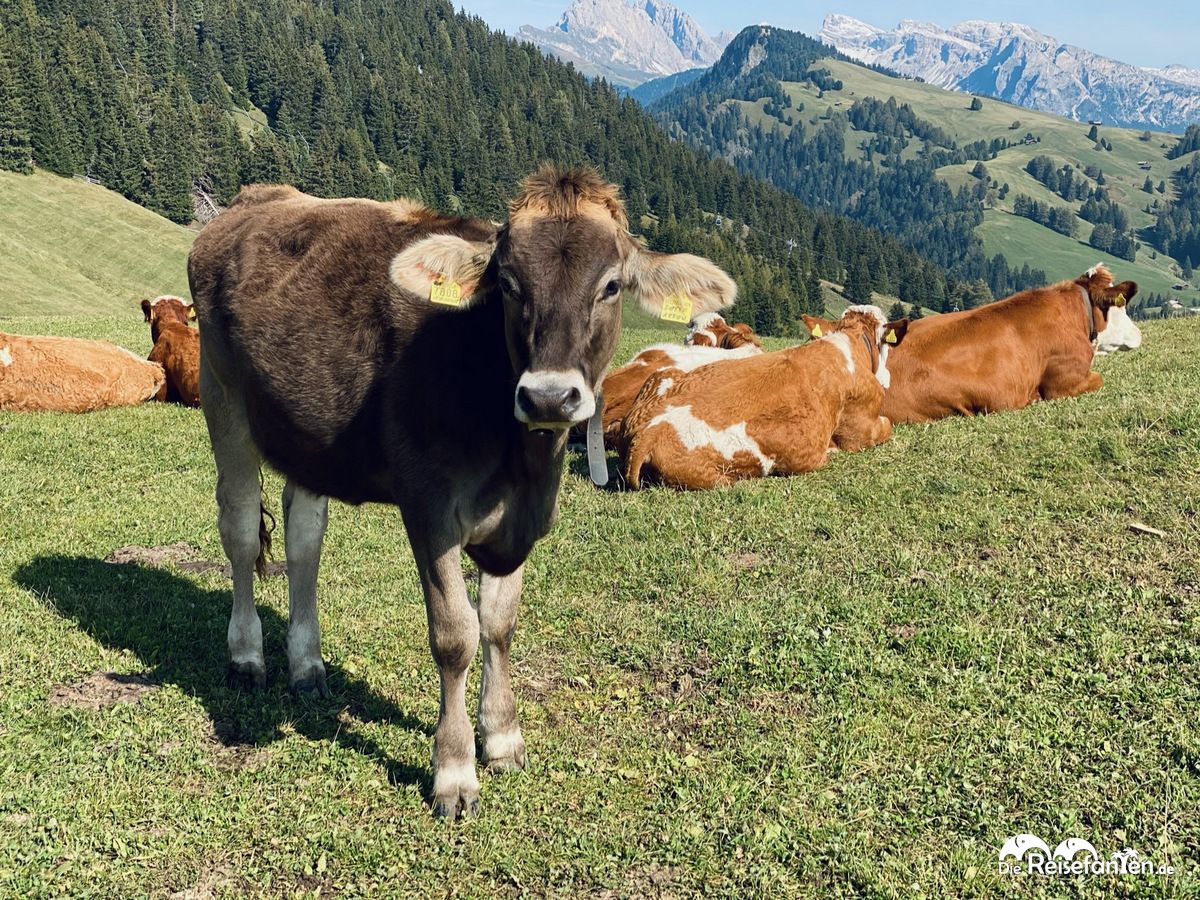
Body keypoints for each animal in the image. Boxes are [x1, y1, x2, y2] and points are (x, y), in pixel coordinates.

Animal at [188, 168, 734, 816]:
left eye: (610, 286)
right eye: (508, 283)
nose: (549, 397)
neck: (517, 459)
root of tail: (257, 198)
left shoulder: (517, 521)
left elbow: (499, 624)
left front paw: (501, 737)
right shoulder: (429, 510)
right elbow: (456, 636)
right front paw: (454, 770)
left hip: (307, 433)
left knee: (303, 542)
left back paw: (307, 667)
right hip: (223, 398)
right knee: (242, 531)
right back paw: (247, 658)